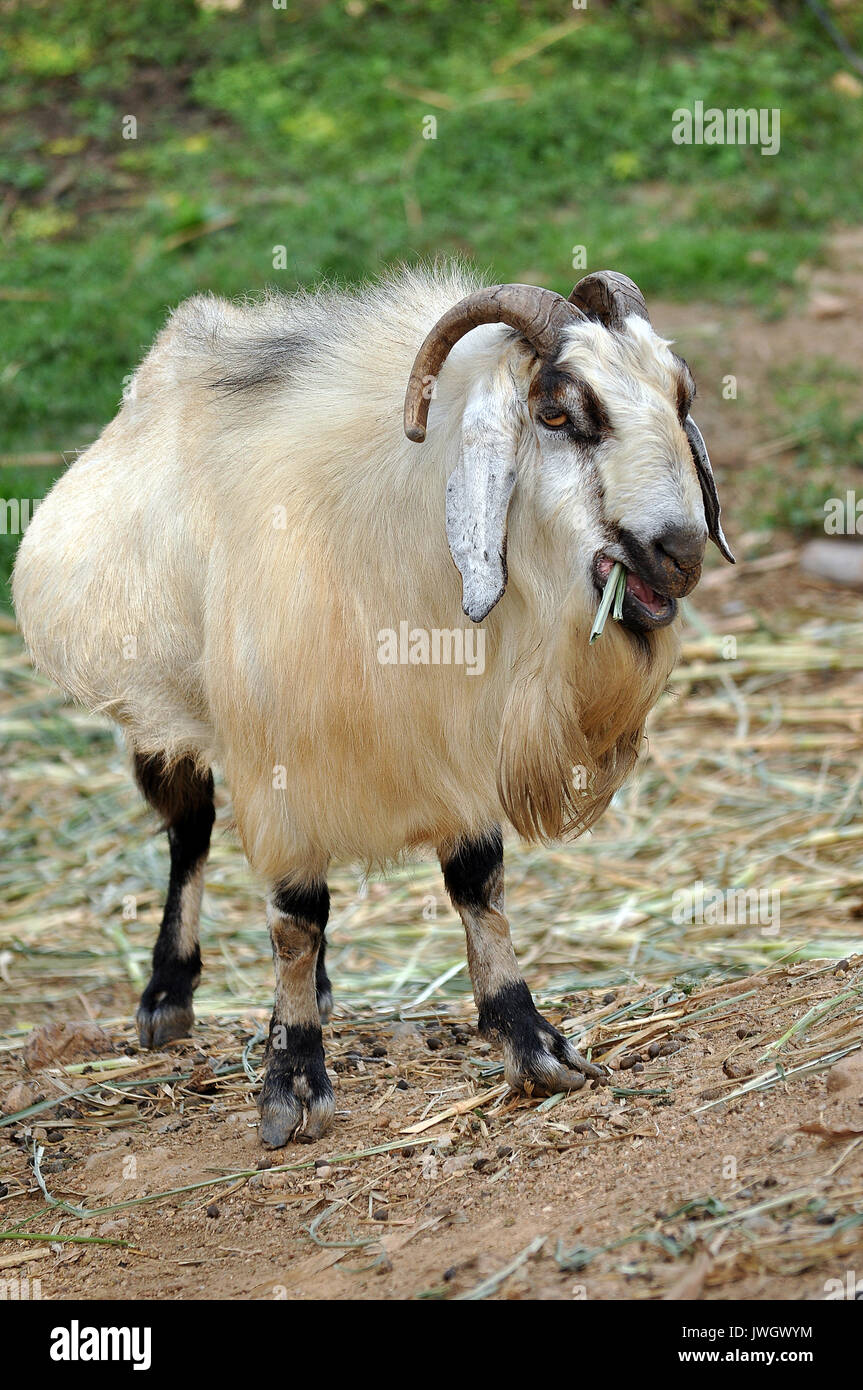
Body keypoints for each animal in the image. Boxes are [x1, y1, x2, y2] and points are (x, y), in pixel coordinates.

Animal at [13, 264, 733, 1146]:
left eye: (678, 393)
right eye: (558, 413)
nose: (679, 552)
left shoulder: (452, 745)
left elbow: (476, 886)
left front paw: (531, 1042)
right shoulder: (280, 763)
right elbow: (294, 916)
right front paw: (293, 1083)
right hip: (159, 714)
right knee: (190, 828)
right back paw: (168, 997)